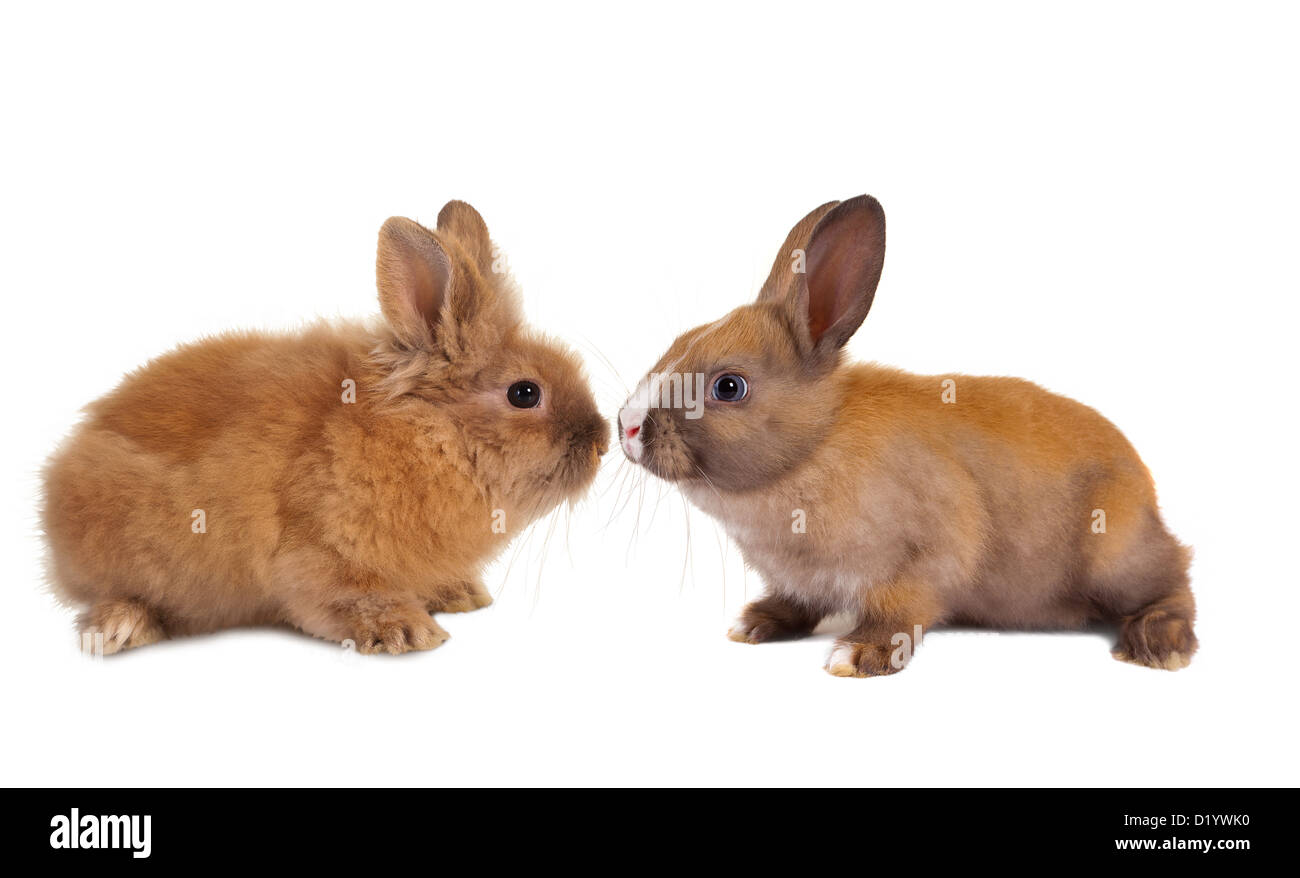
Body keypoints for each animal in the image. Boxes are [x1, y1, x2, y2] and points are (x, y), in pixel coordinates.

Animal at [43, 200, 609, 655]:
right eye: (524, 393)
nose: (601, 442)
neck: (430, 437)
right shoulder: (319, 557)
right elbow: (340, 598)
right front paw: (406, 632)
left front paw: (460, 594)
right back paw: (120, 628)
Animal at [617, 195, 1195, 676]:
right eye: (677, 343)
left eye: (729, 386)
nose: (627, 426)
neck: (815, 447)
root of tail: (1148, 498)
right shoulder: (799, 581)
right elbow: (797, 601)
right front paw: (755, 624)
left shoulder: (925, 560)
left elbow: (902, 611)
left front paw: (857, 655)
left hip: (1114, 552)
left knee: (1175, 578)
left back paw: (1158, 645)